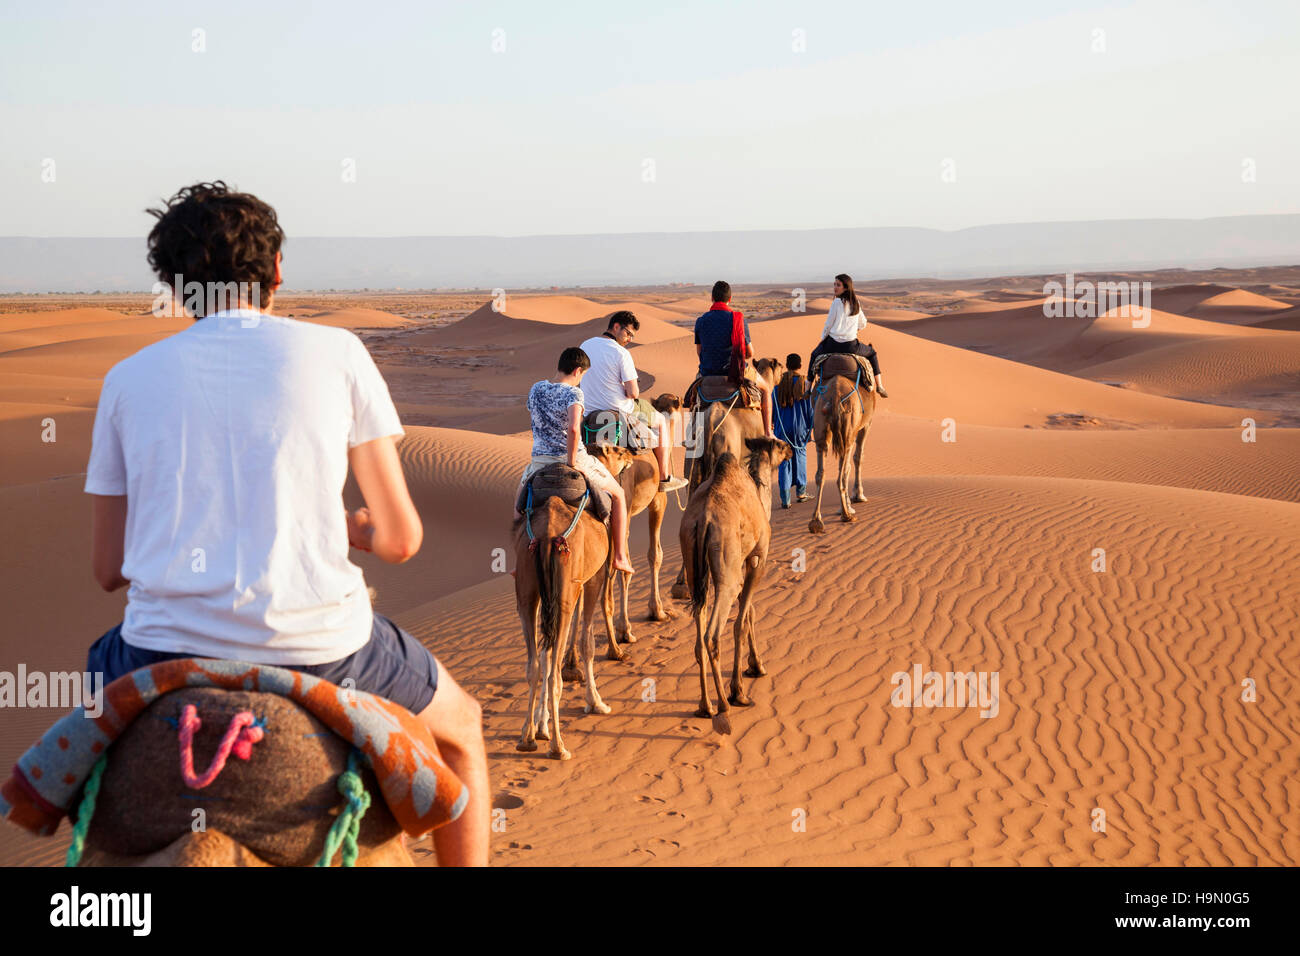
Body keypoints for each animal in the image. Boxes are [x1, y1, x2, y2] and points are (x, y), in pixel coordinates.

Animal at [514, 465, 630, 759]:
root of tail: (545, 536)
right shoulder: (594, 578)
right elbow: (587, 642)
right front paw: (596, 702)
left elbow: (546, 652)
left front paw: (540, 726)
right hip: (566, 592)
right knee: (555, 672)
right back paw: (558, 746)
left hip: (528, 590)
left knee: (534, 664)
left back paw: (527, 739)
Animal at [679, 437, 791, 734]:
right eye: (778, 443)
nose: (790, 448)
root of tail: (703, 519)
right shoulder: (757, 558)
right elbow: (742, 620)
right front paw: (741, 685)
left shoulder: (739, 566)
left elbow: (748, 611)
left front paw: (755, 665)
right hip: (725, 570)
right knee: (712, 634)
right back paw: (725, 707)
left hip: (694, 567)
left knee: (699, 635)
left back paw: (704, 706)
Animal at [808, 363, 878, 534]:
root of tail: (835, 396)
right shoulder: (866, 424)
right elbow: (857, 459)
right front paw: (858, 495)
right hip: (848, 431)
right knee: (842, 473)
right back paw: (846, 515)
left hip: (820, 426)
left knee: (821, 473)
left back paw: (816, 521)